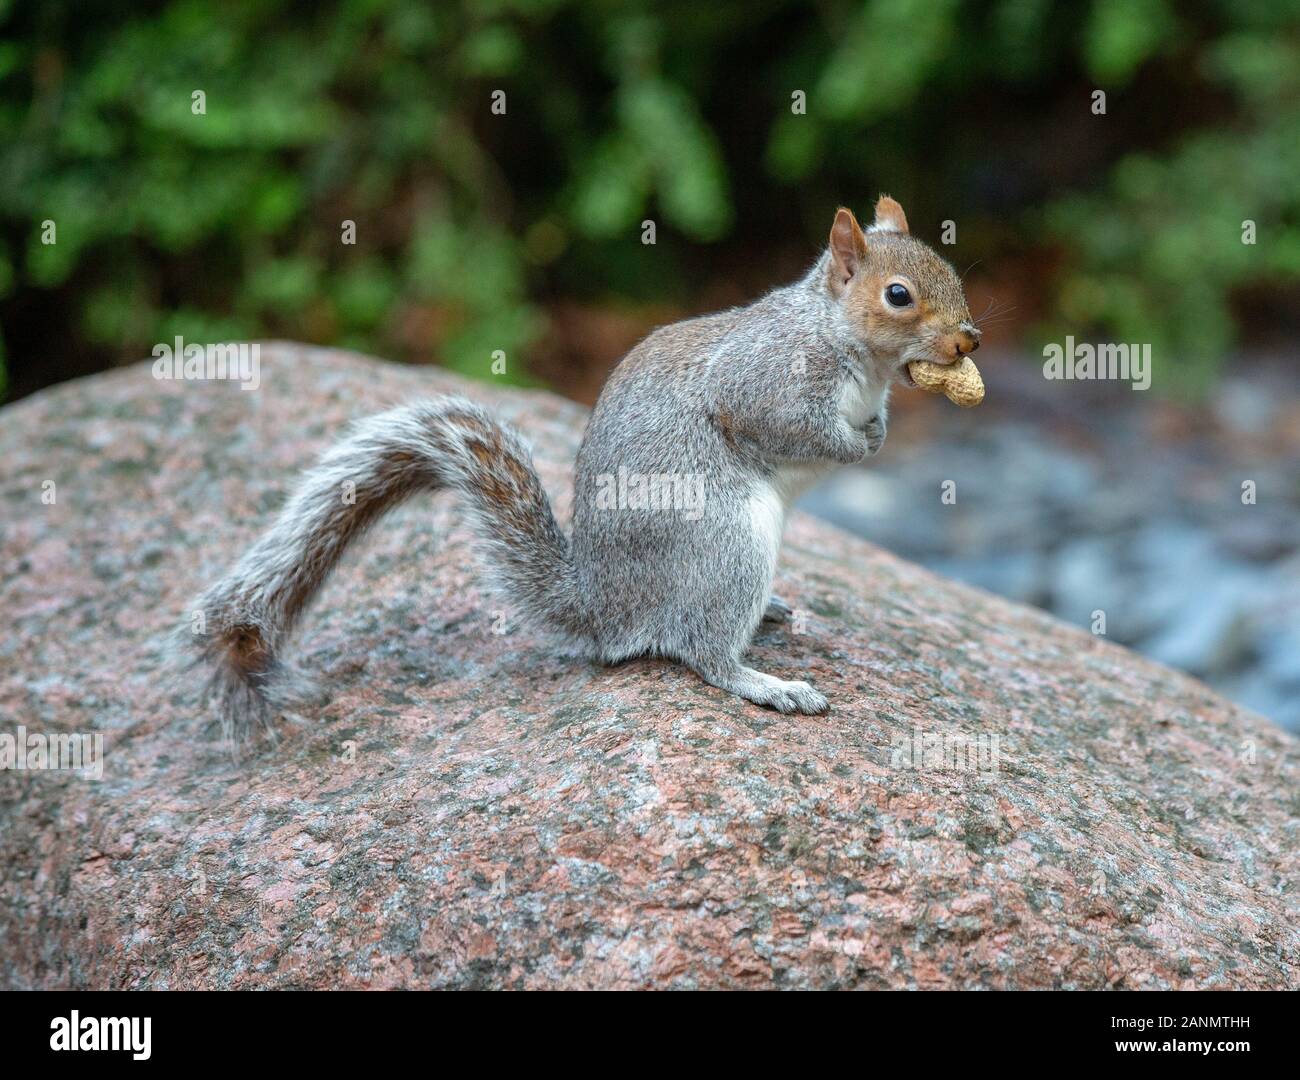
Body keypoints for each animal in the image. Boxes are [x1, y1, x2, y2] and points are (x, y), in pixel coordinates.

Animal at [192, 196, 980, 739]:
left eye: (950, 270)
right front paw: (858, 443)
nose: (970, 339)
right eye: (898, 295)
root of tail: (603, 609)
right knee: (700, 650)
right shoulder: (764, 383)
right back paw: (763, 682)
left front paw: (881, 425)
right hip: (725, 542)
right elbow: (784, 427)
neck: (845, 345)